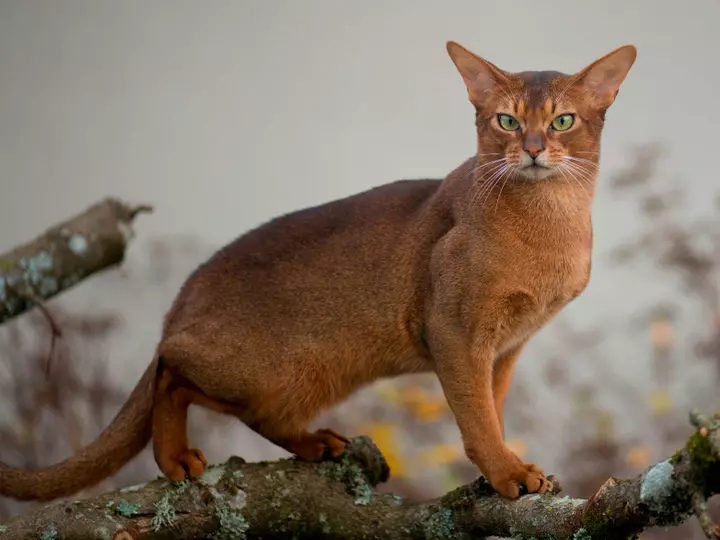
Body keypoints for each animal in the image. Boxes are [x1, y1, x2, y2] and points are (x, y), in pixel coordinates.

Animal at [0, 41, 636, 502]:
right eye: (506, 120)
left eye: (562, 121)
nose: (532, 148)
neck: (549, 226)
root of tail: (182, 299)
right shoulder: (455, 331)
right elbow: (477, 417)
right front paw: (508, 475)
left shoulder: (505, 349)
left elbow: (491, 412)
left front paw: (500, 467)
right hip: (259, 366)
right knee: (169, 369)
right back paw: (175, 457)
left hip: (301, 377)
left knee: (249, 410)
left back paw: (314, 444)